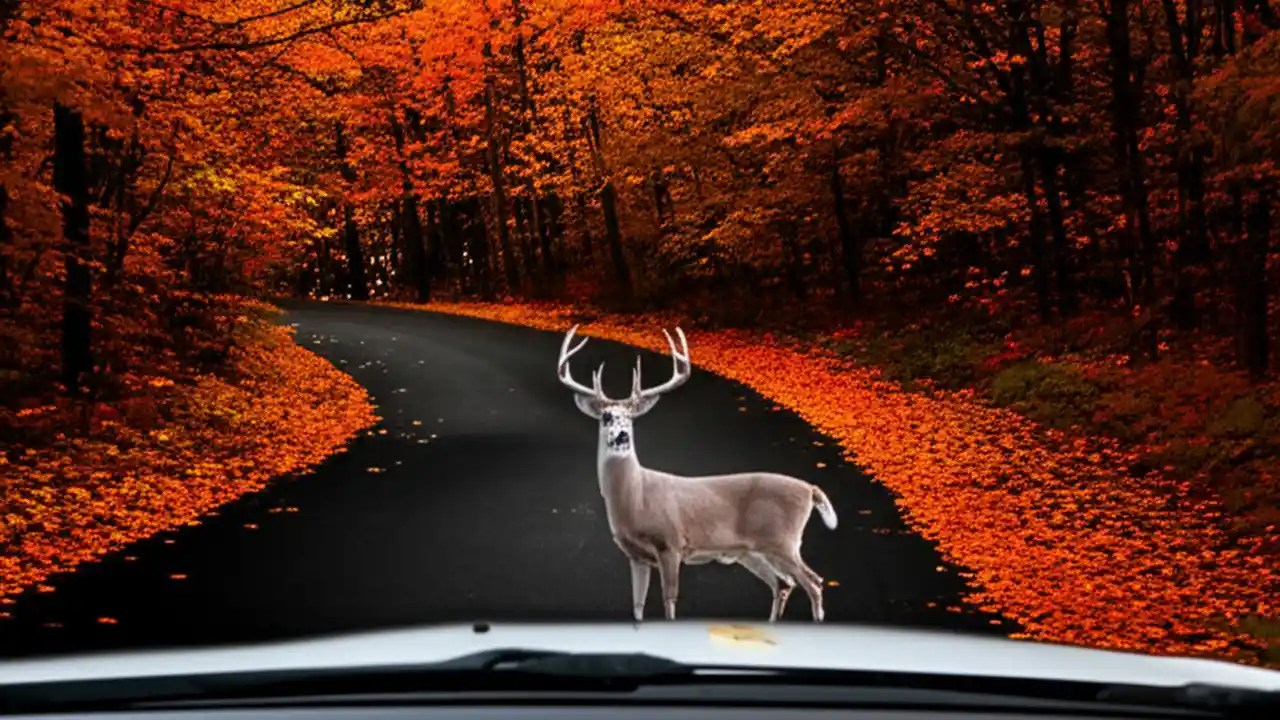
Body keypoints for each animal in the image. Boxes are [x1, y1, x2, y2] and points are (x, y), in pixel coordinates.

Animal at [556, 325, 838, 623]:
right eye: (606, 417)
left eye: (631, 418)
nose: (621, 436)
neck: (636, 497)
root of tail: (810, 489)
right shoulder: (635, 555)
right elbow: (637, 605)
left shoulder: (671, 543)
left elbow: (669, 600)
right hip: (754, 552)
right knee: (784, 584)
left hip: (783, 541)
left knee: (814, 582)